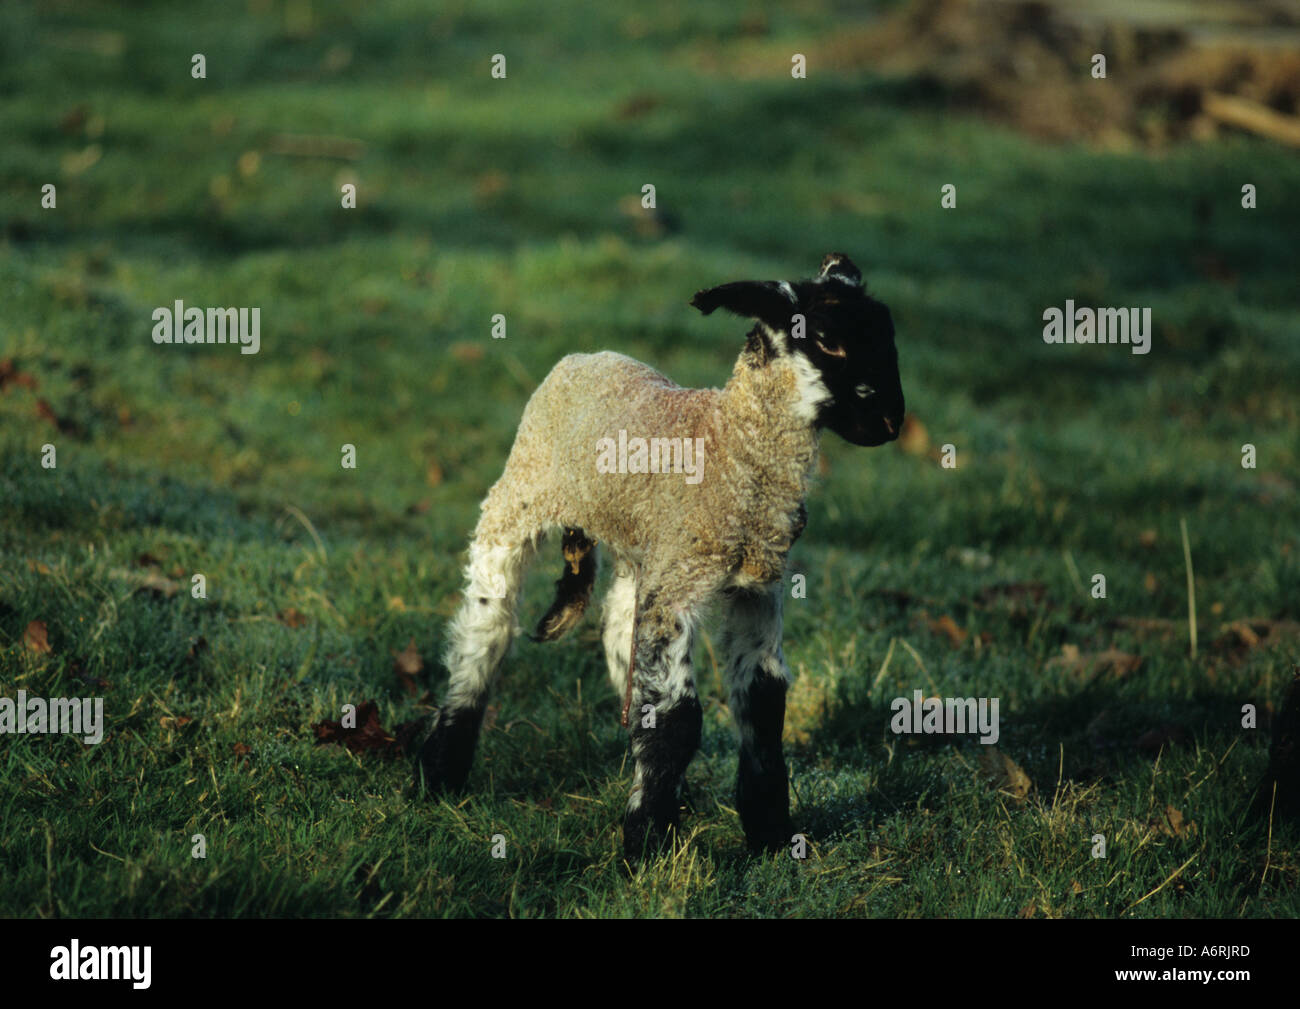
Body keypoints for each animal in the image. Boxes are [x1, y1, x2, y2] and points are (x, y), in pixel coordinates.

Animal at [415, 252, 905, 858]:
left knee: (618, 640)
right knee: (485, 632)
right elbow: (678, 717)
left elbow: (763, 699)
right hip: (516, 503)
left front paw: (769, 832)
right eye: (829, 342)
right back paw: (441, 771)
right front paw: (646, 842)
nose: (892, 423)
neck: (727, 447)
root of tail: (588, 356)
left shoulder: (755, 587)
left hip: (641, 555)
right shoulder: (680, 584)